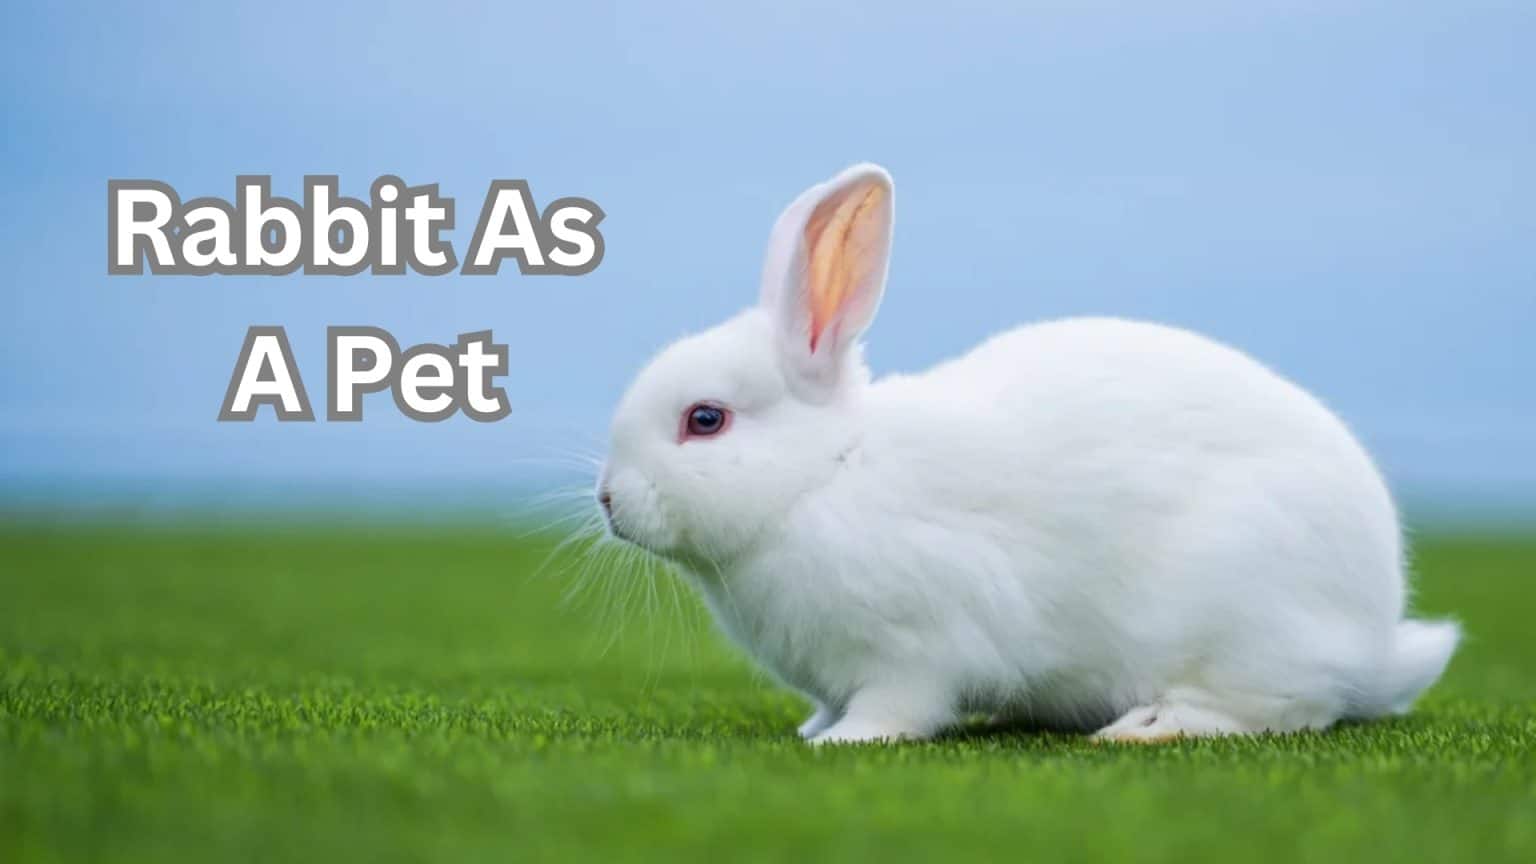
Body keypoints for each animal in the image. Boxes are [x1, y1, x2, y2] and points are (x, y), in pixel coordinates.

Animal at [596, 163, 1460, 744]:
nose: (608, 500)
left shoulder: (914, 647)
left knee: (1287, 708)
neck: (823, 476)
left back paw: (1147, 726)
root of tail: (1376, 638)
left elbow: (895, 706)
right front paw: (812, 728)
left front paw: (843, 741)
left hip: (1242, 620)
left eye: (705, 420)